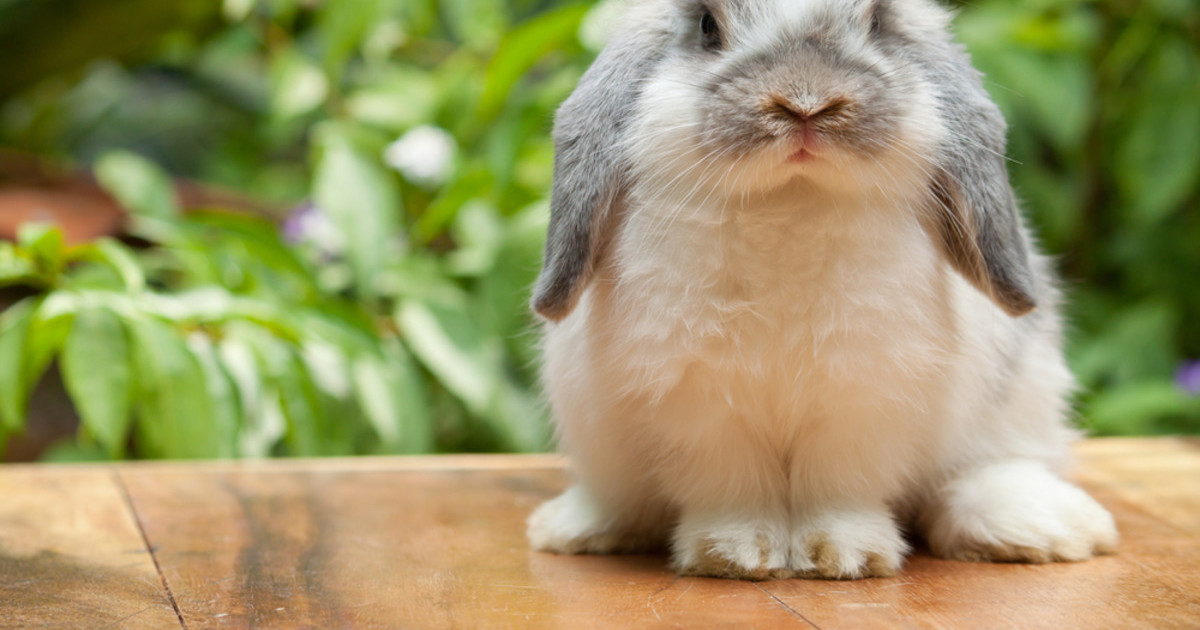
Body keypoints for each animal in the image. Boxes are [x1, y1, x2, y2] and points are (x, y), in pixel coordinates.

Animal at [525, 0, 1117, 580]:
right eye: (708, 26)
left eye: (877, 22)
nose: (806, 103)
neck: (790, 201)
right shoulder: (701, 404)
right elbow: (732, 486)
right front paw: (734, 553)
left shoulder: (863, 395)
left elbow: (839, 485)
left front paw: (846, 554)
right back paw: (579, 528)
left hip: (1021, 398)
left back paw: (1036, 528)